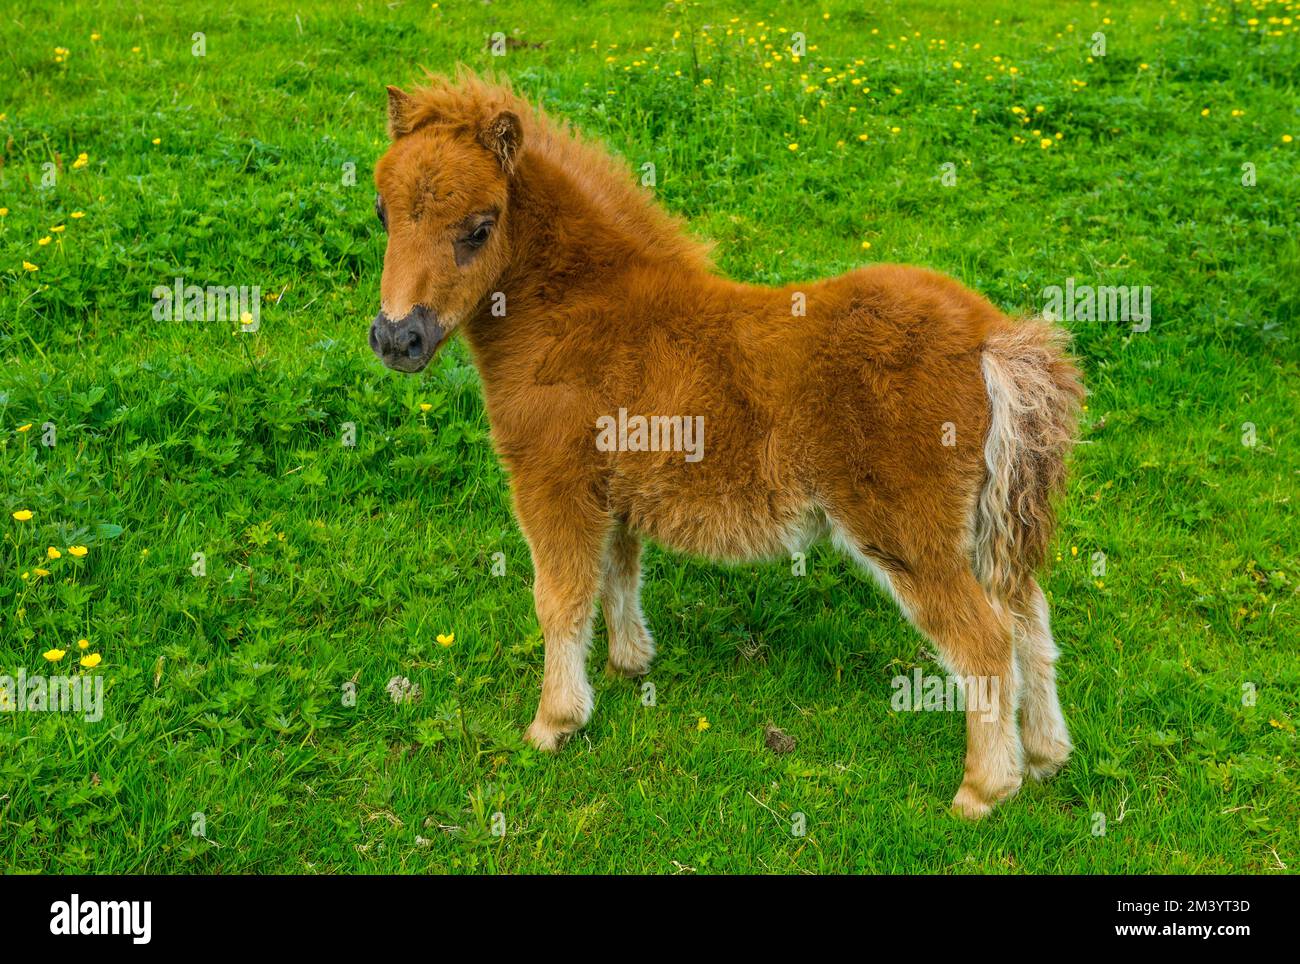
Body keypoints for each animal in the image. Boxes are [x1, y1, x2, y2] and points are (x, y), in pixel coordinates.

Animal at [368, 72, 1083, 818]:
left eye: (479, 229)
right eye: (383, 214)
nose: (396, 339)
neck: (576, 312)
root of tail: (990, 339)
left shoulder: (552, 483)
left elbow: (560, 596)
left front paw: (555, 722)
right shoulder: (614, 491)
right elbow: (617, 574)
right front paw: (630, 664)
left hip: (909, 535)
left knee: (986, 643)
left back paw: (983, 789)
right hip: (986, 524)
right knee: (1029, 617)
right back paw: (1045, 756)